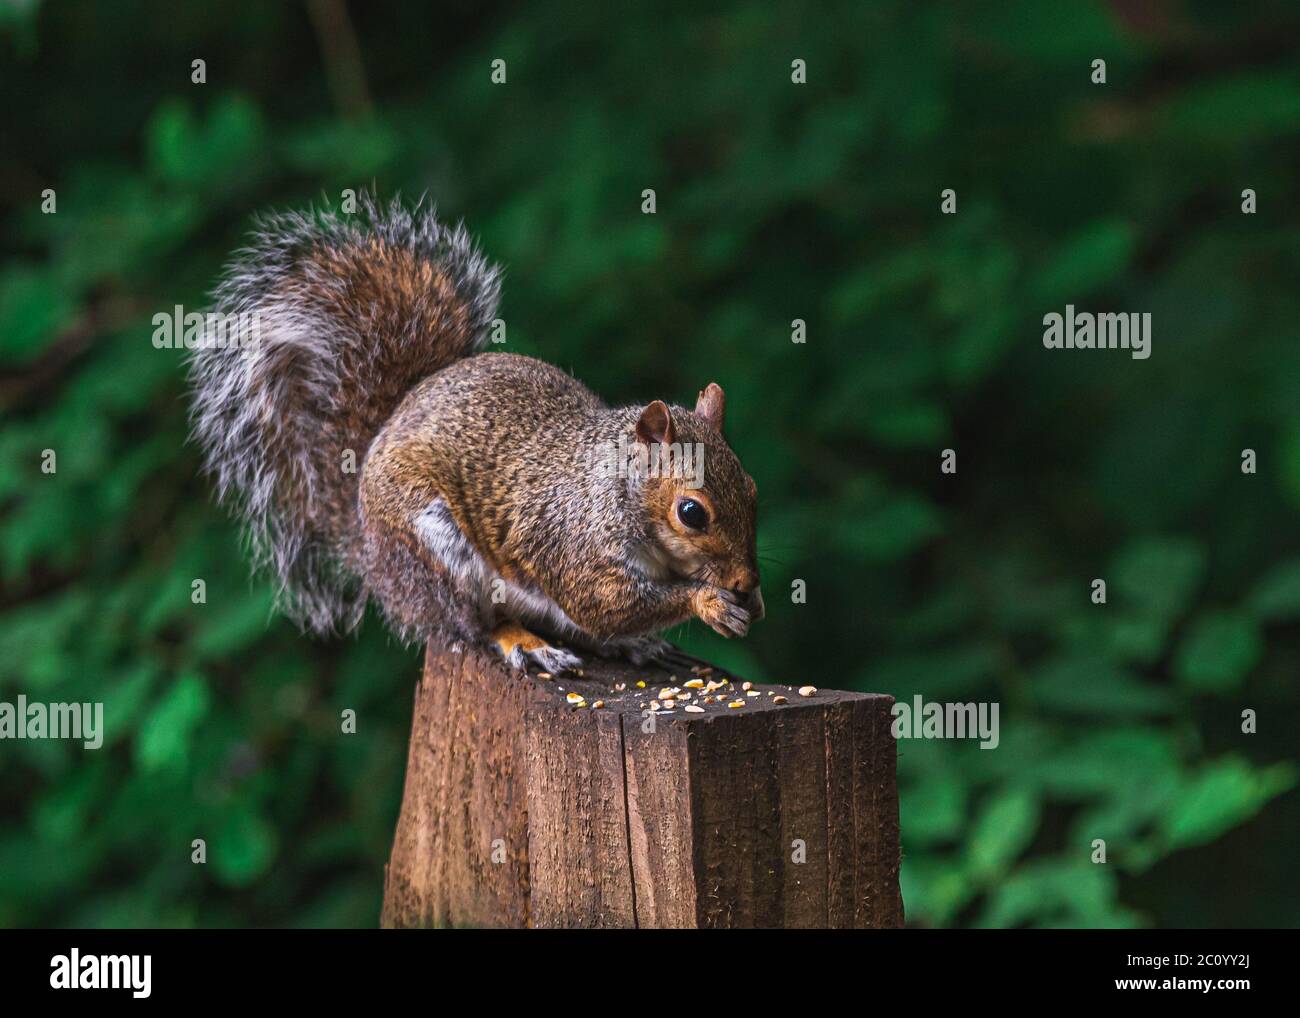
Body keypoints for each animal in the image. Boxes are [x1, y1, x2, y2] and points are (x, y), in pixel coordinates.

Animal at [188, 194, 763, 673]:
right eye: (692, 513)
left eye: (754, 490)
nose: (746, 583)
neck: (615, 489)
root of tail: (370, 554)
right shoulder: (575, 545)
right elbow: (605, 603)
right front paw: (707, 600)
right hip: (432, 552)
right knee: (474, 625)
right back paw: (524, 642)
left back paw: (631, 646)